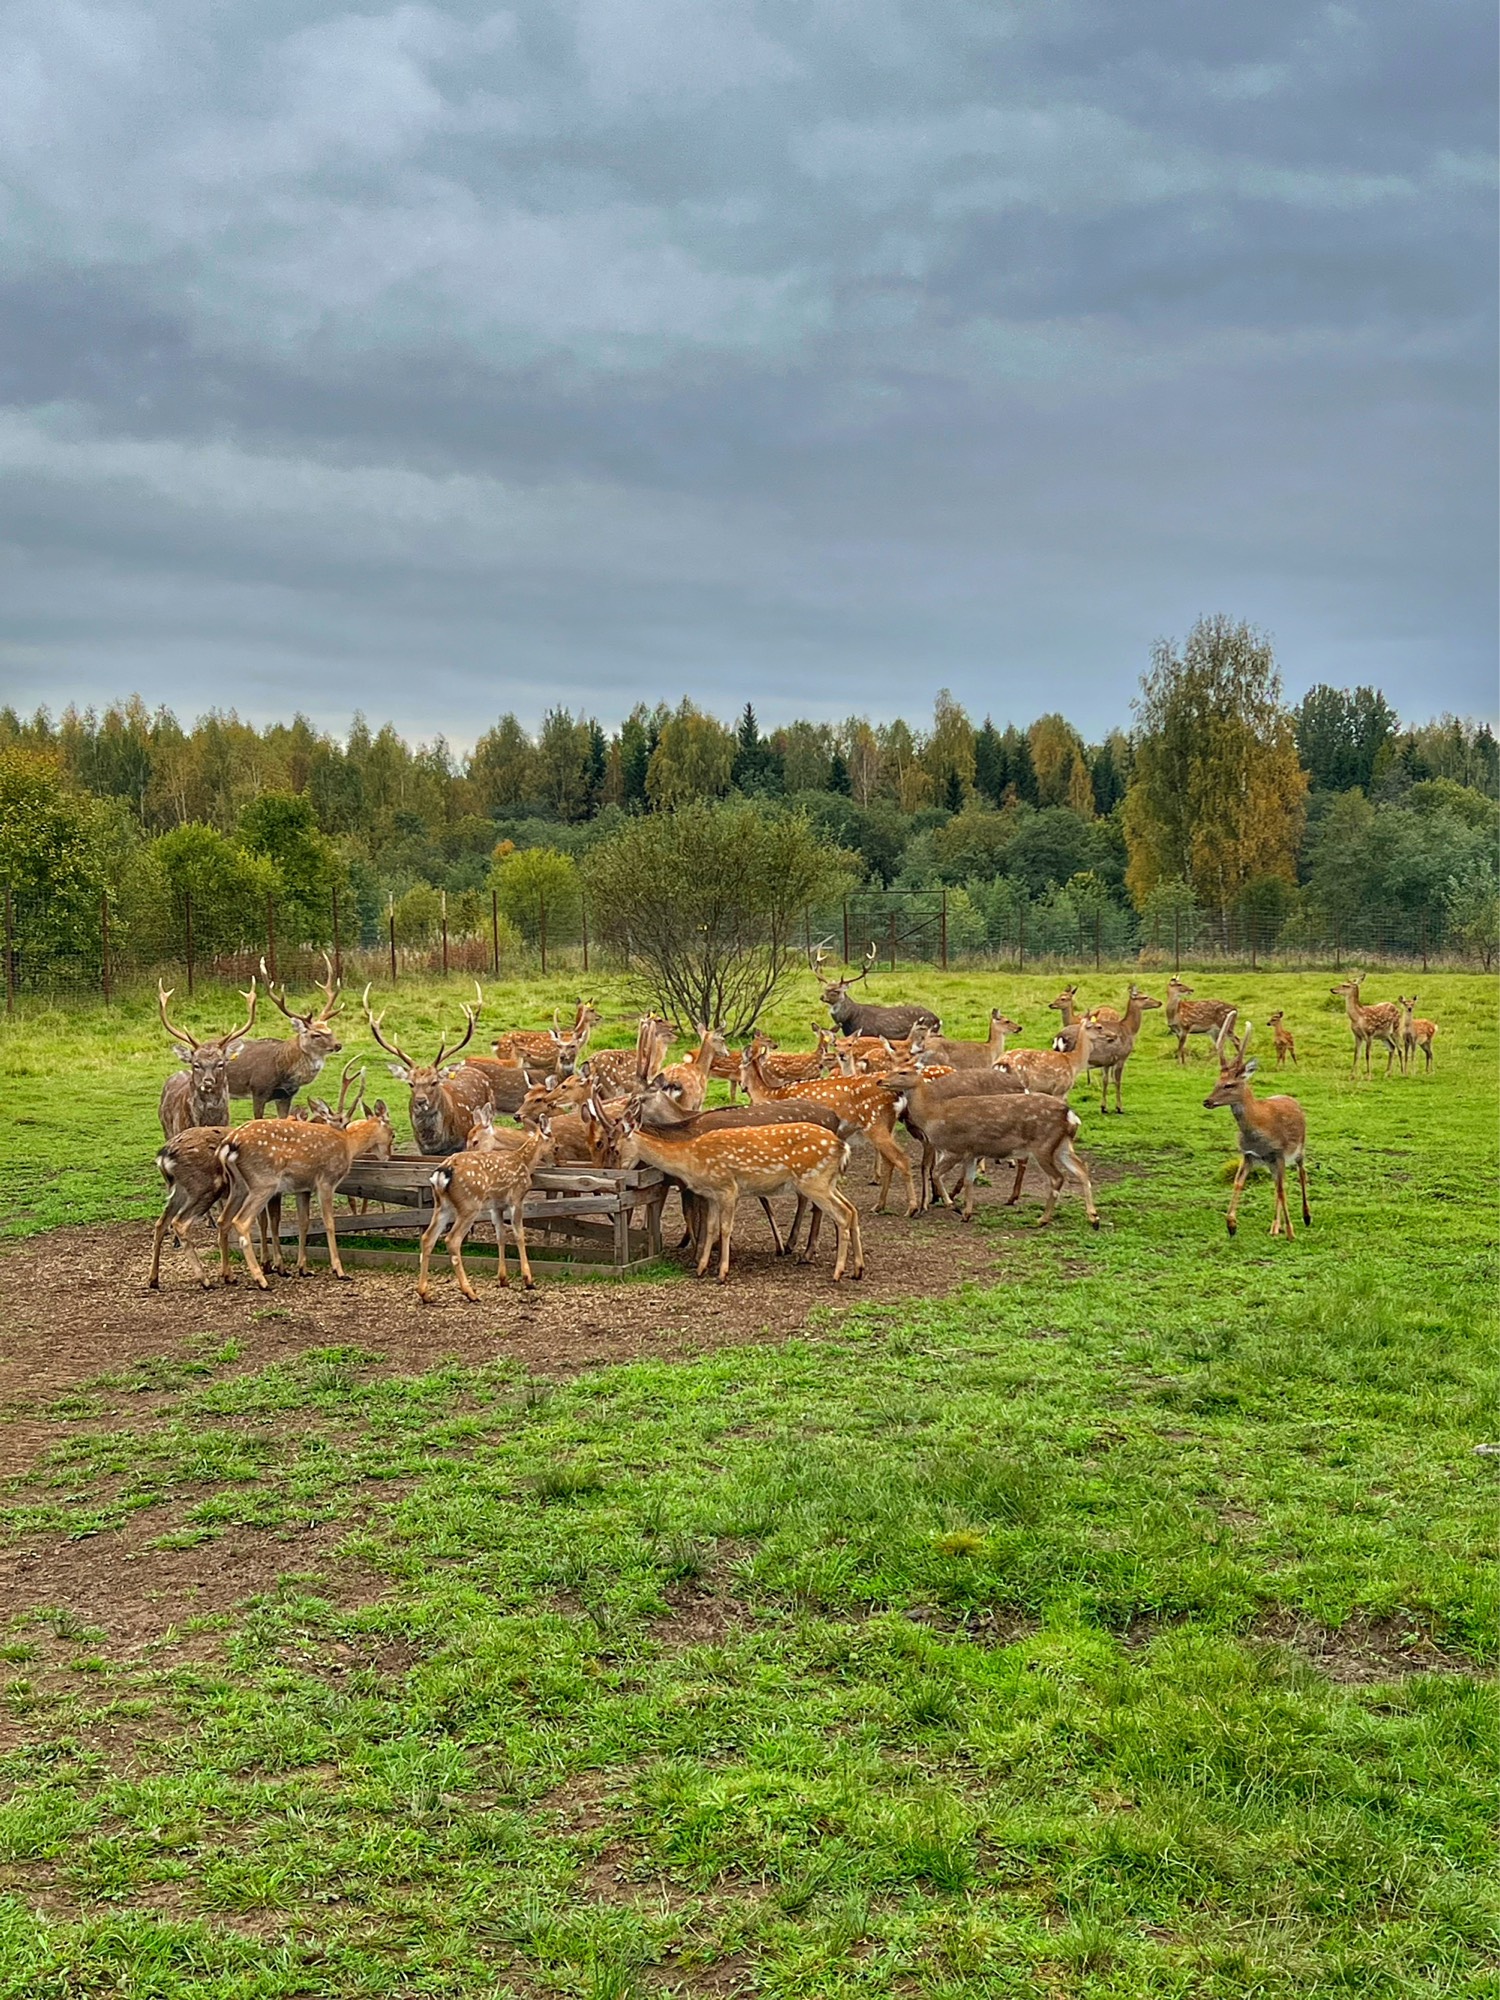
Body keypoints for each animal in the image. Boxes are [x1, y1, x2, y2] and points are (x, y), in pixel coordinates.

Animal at [217, 1104, 396, 1288]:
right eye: (393, 1134)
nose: (388, 1156)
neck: (349, 1144)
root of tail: (230, 1144)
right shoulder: (326, 1181)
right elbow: (329, 1223)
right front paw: (339, 1271)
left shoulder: (303, 1188)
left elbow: (304, 1223)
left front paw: (303, 1268)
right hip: (263, 1182)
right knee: (241, 1221)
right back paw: (261, 1280)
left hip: (238, 1185)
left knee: (223, 1220)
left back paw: (228, 1276)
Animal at [414, 1120, 560, 1304]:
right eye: (555, 1145)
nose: (556, 1162)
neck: (524, 1161)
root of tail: (442, 1173)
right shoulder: (516, 1198)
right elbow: (519, 1236)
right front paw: (528, 1280)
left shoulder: (496, 1206)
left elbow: (501, 1236)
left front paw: (503, 1279)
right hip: (469, 1204)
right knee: (452, 1240)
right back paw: (470, 1293)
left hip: (442, 1205)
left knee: (428, 1237)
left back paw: (425, 1293)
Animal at [620, 1112, 856, 1280]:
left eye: (615, 1147)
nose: (620, 1171)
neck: (690, 1159)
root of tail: (843, 1146)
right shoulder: (712, 1195)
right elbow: (711, 1228)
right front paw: (701, 1268)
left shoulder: (728, 1188)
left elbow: (725, 1229)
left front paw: (722, 1272)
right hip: (828, 1181)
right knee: (852, 1209)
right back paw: (857, 1270)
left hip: (814, 1181)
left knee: (842, 1213)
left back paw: (838, 1273)